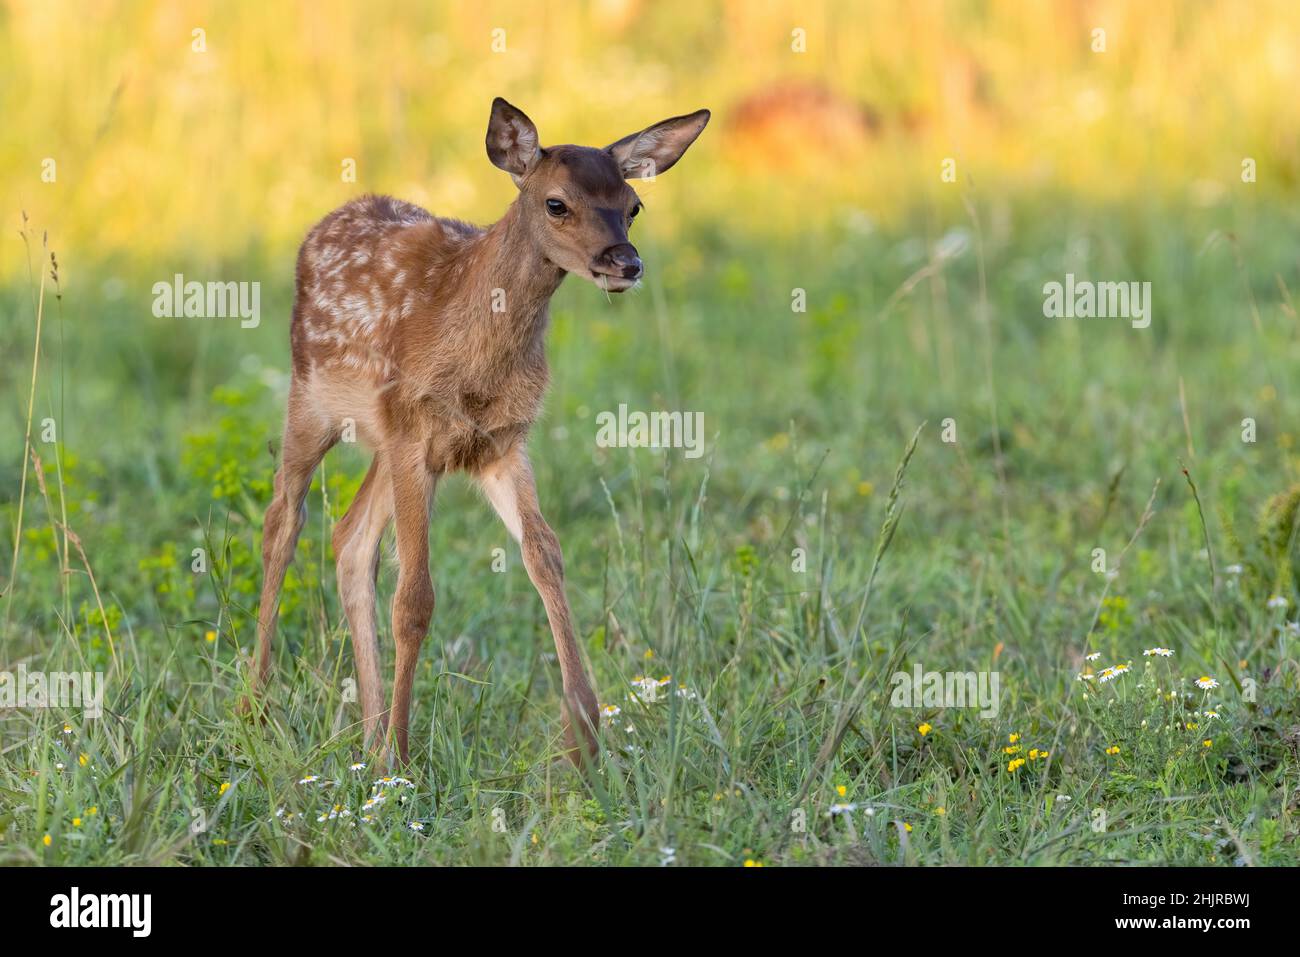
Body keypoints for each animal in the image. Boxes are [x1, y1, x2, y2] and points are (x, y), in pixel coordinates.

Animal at [243, 98, 710, 767]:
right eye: (556, 203)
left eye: (633, 205)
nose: (625, 262)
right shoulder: (415, 436)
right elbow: (415, 598)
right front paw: (402, 758)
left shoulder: (501, 442)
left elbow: (546, 558)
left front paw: (587, 741)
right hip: (311, 398)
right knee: (283, 519)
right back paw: (257, 709)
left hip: (385, 438)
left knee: (349, 537)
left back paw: (367, 735)